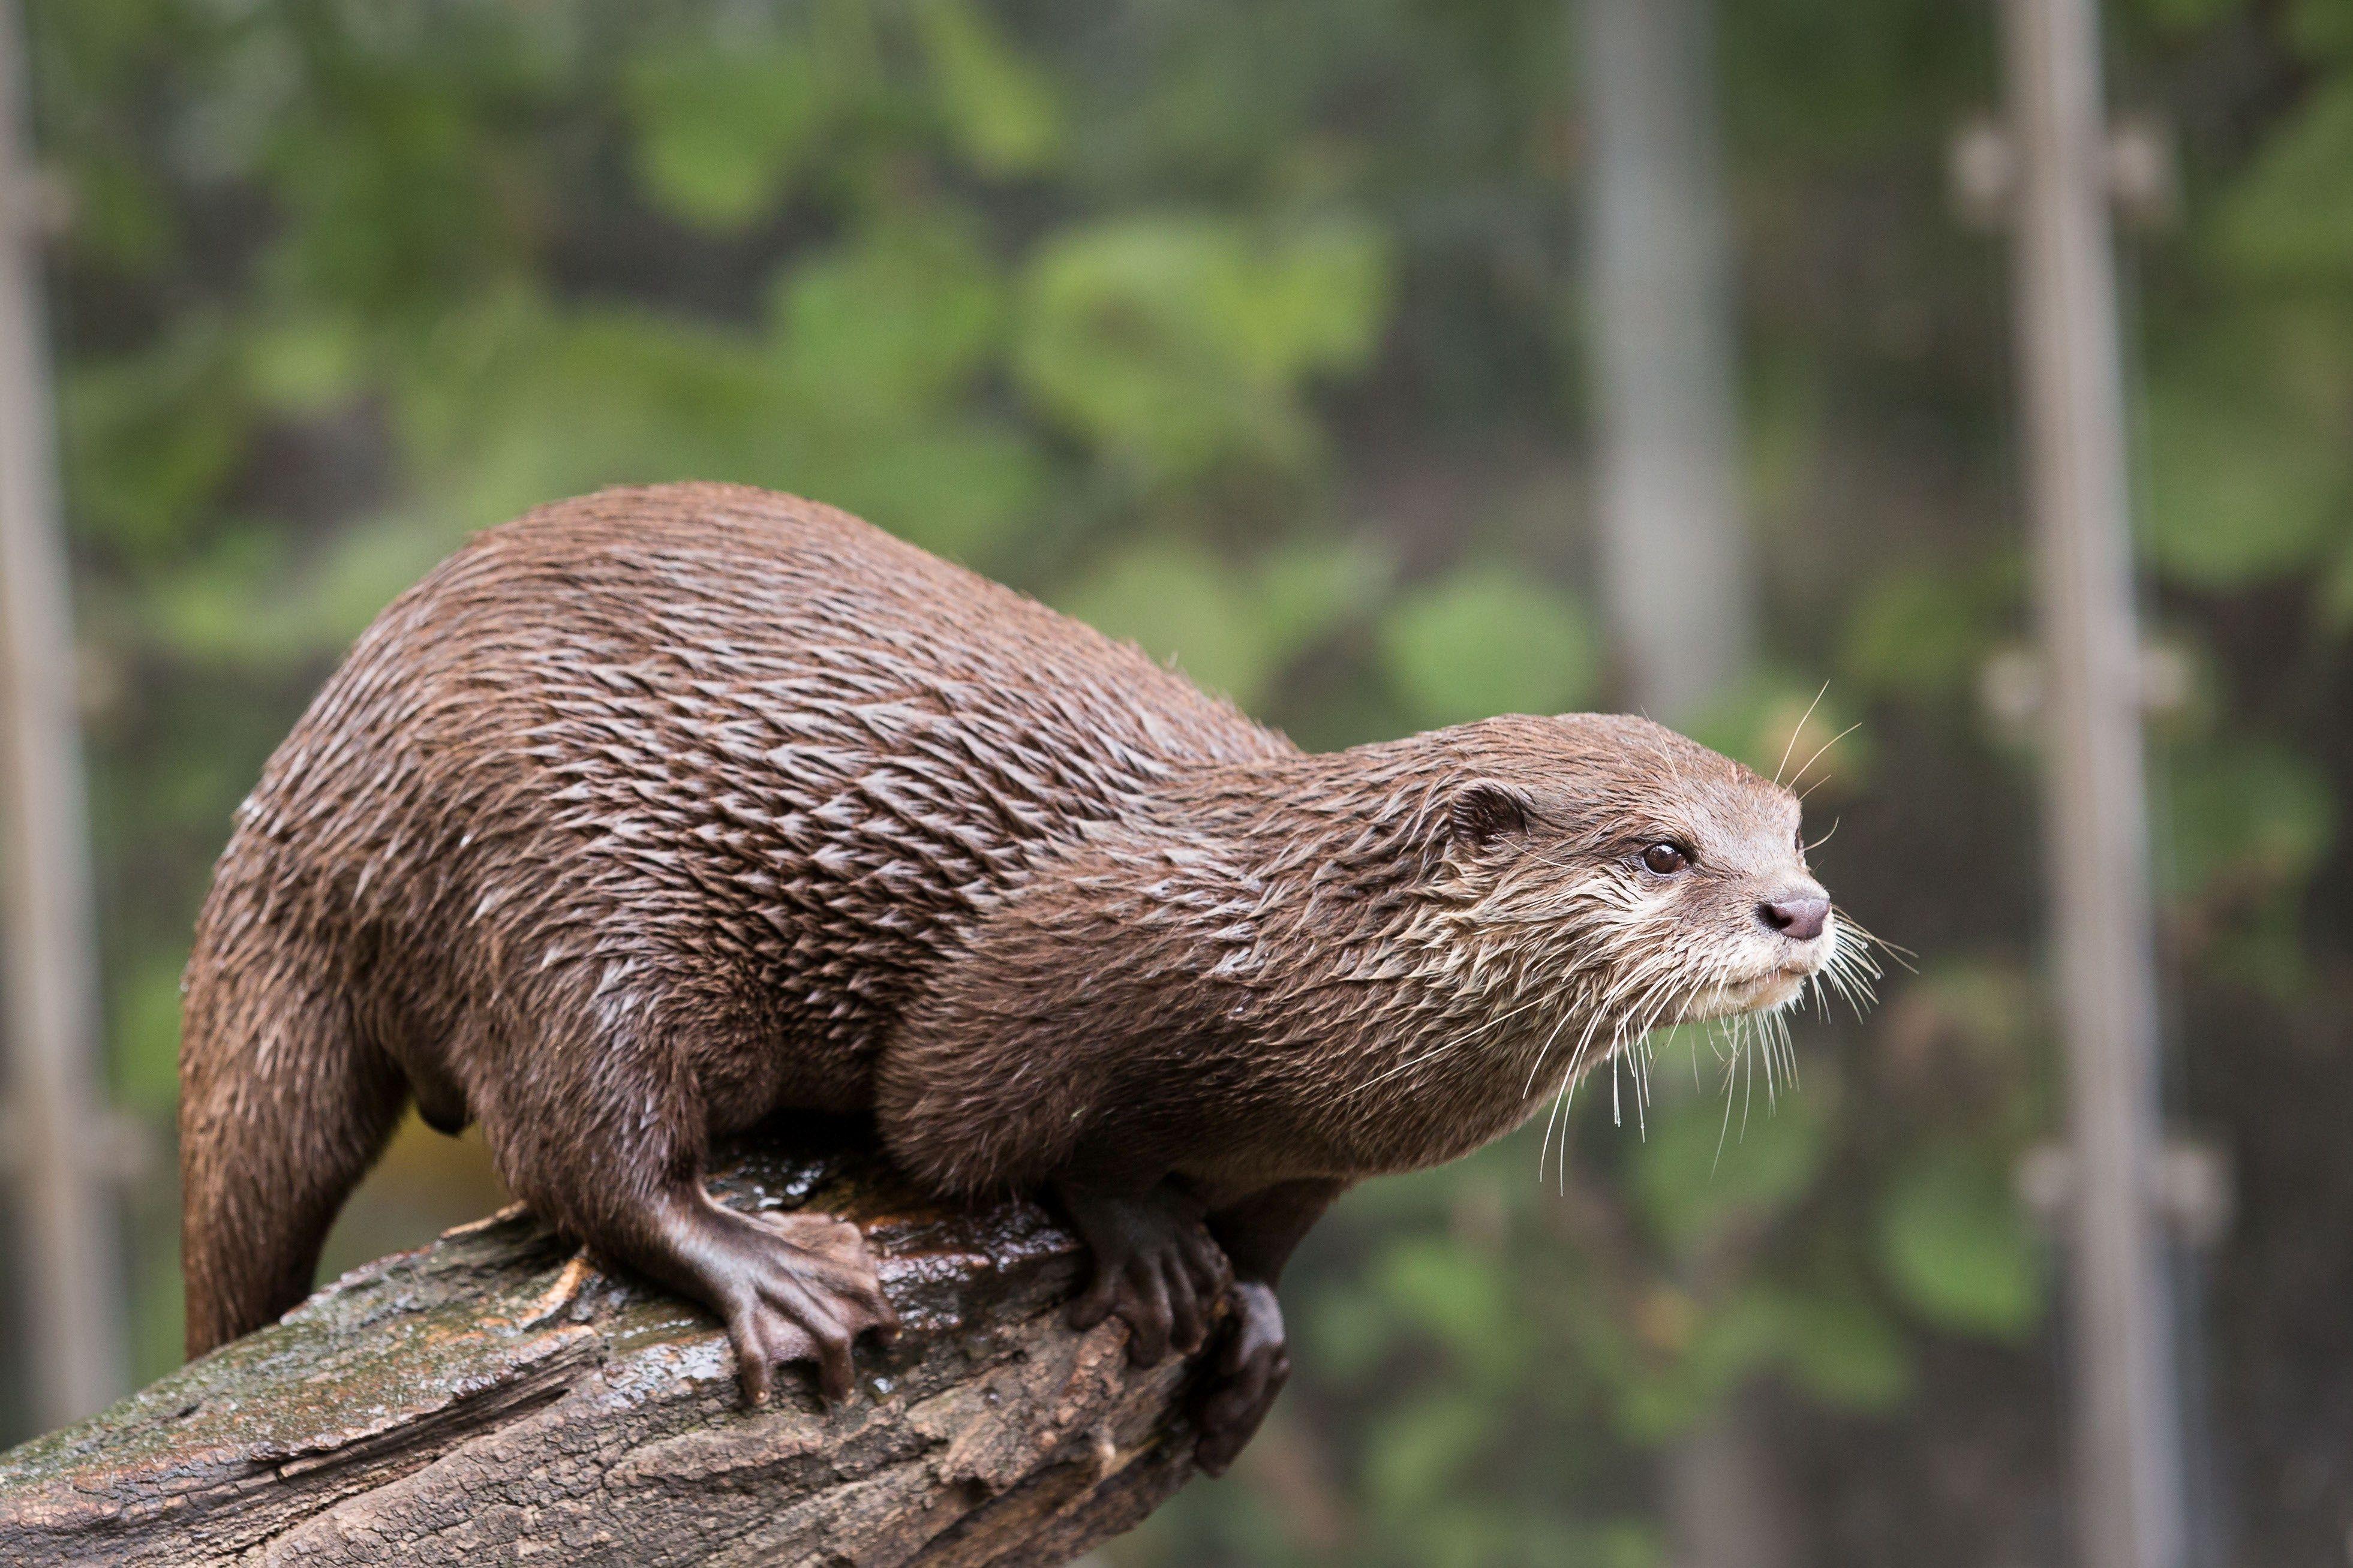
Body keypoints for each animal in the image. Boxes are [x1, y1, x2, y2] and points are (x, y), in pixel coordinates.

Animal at [179, 482, 1850, 1473]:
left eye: (1789, 823)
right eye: (1659, 849)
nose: (1802, 908)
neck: (1299, 971)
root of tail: (323, 763)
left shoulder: (1326, 1152)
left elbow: (1275, 1236)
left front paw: (1250, 1325)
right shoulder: (1066, 956)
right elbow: (959, 1117)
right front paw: (1145, 1236)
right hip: (579, 888)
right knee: (576, 1139)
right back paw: (773, 1271)